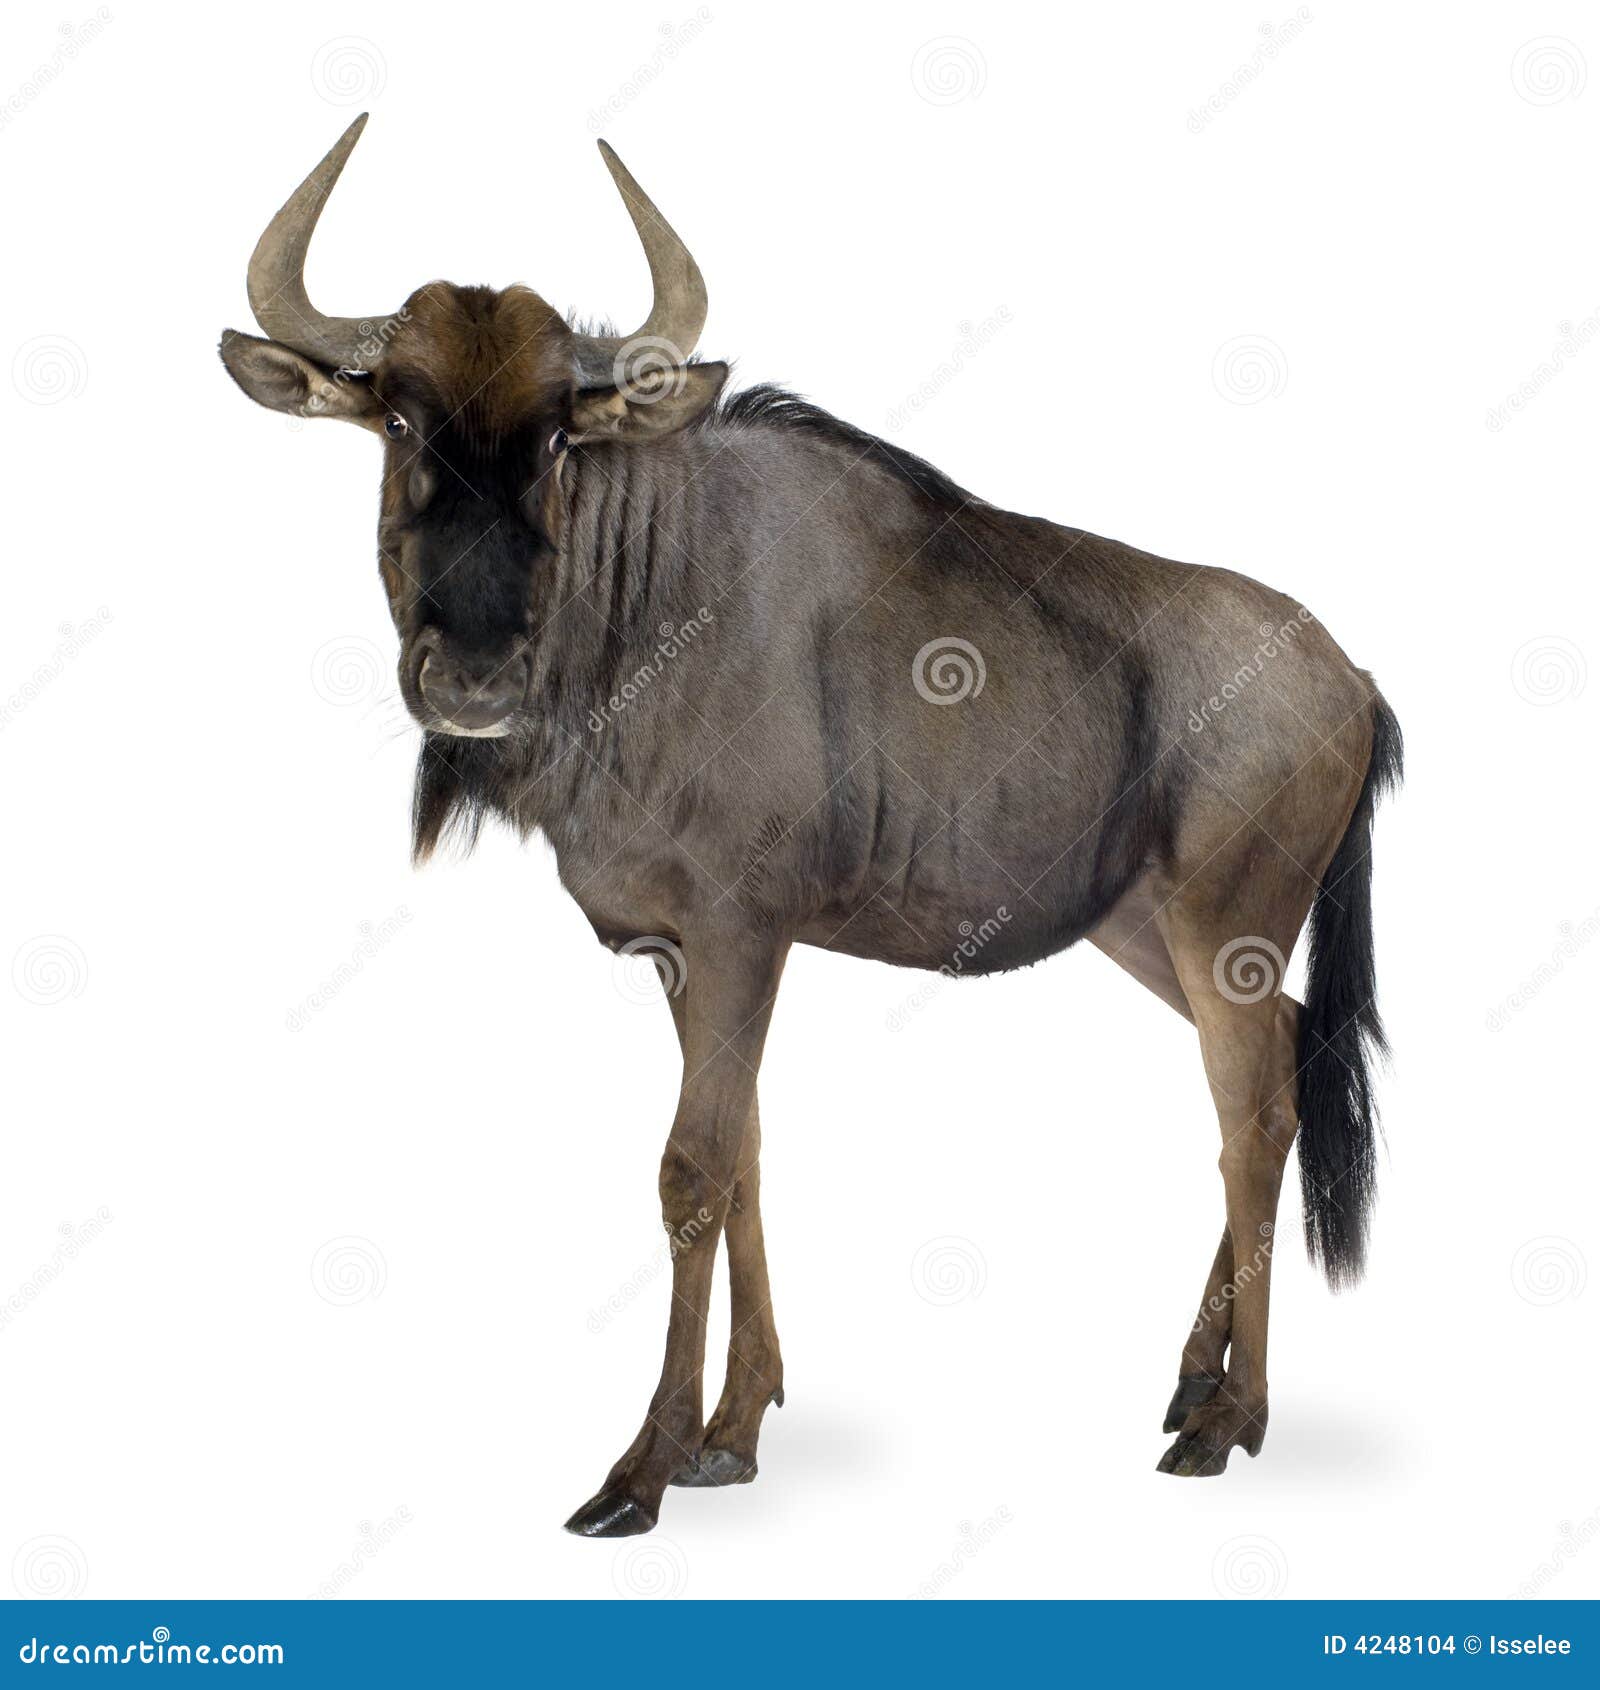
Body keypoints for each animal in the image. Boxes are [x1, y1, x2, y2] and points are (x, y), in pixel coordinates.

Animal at [220, 116, 1402, 1537]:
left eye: (558, 439)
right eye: (396, 415)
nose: (473, 679)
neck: (642, 609)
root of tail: (1348, 676)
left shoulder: (742, 935)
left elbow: (689, 1172)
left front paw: (643, 1467)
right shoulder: (683, 954)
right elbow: (744, 1155)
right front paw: (733, 1431)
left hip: (1222, 929)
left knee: (1255, 1116)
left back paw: (1231, 1418)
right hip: (1150, 935)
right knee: (1276, 1061)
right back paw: (1190, 1381)